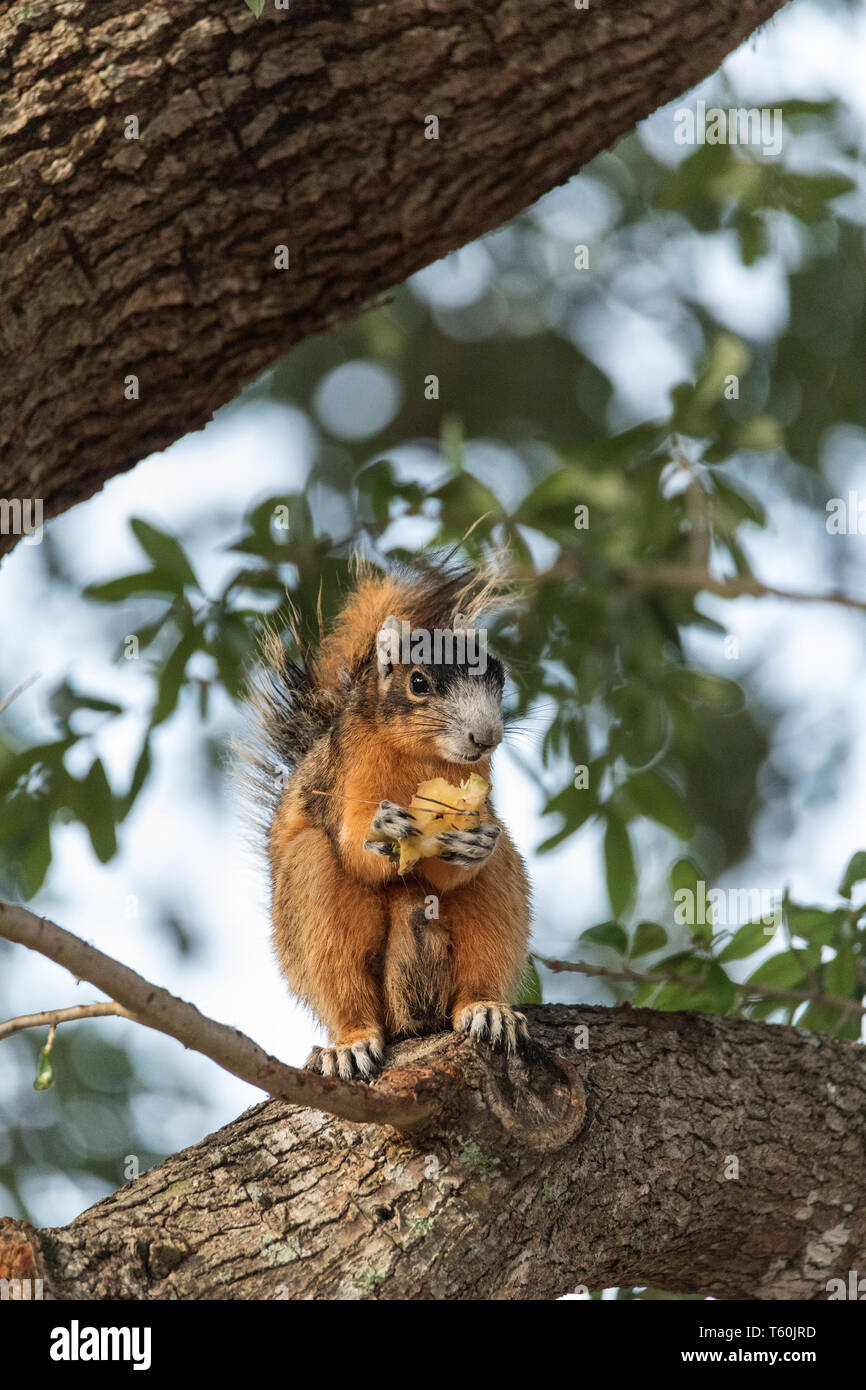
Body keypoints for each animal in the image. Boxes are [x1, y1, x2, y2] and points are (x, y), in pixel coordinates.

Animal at [243, 554, 531, 1081]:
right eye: (418, 683)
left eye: (499, 682)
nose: (486, 738)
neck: (420, 756)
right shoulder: (349, 771)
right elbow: (354, 849)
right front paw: (382, 829)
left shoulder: (477, 780)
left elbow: (449, 868)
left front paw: (476, 843)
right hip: (311, 896)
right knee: (342, 976)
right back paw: (350, 1043)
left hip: (496, 895)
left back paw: (486, 1008)